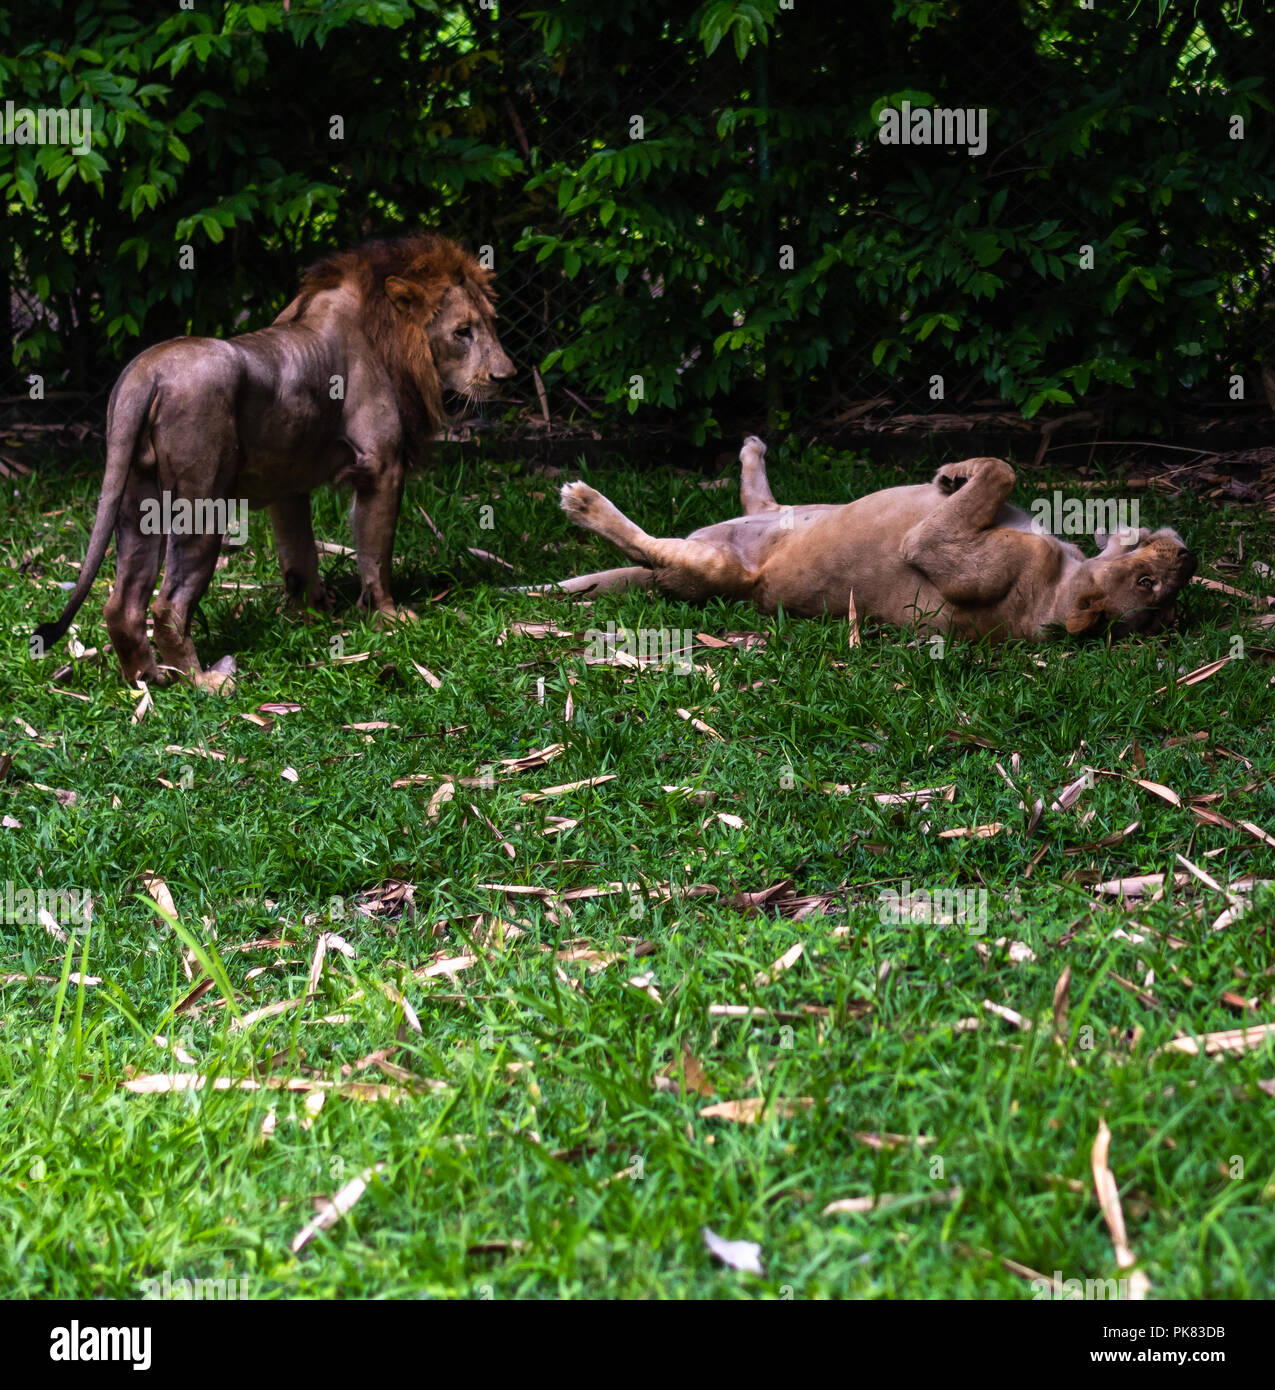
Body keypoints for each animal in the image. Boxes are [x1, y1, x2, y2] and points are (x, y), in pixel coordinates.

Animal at [33, 233, 514, 689]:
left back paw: (146, 681)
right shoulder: (381, 466)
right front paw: (390, 619)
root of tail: (143, 374)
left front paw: (312, 617)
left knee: (122, 604)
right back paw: (204, 683)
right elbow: (375, 555)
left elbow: (299, 557)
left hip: (136, 498)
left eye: (492, 324)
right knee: (168, 606)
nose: (506, 376)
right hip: (201, 500)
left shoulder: (288, 483)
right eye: (462, 332)